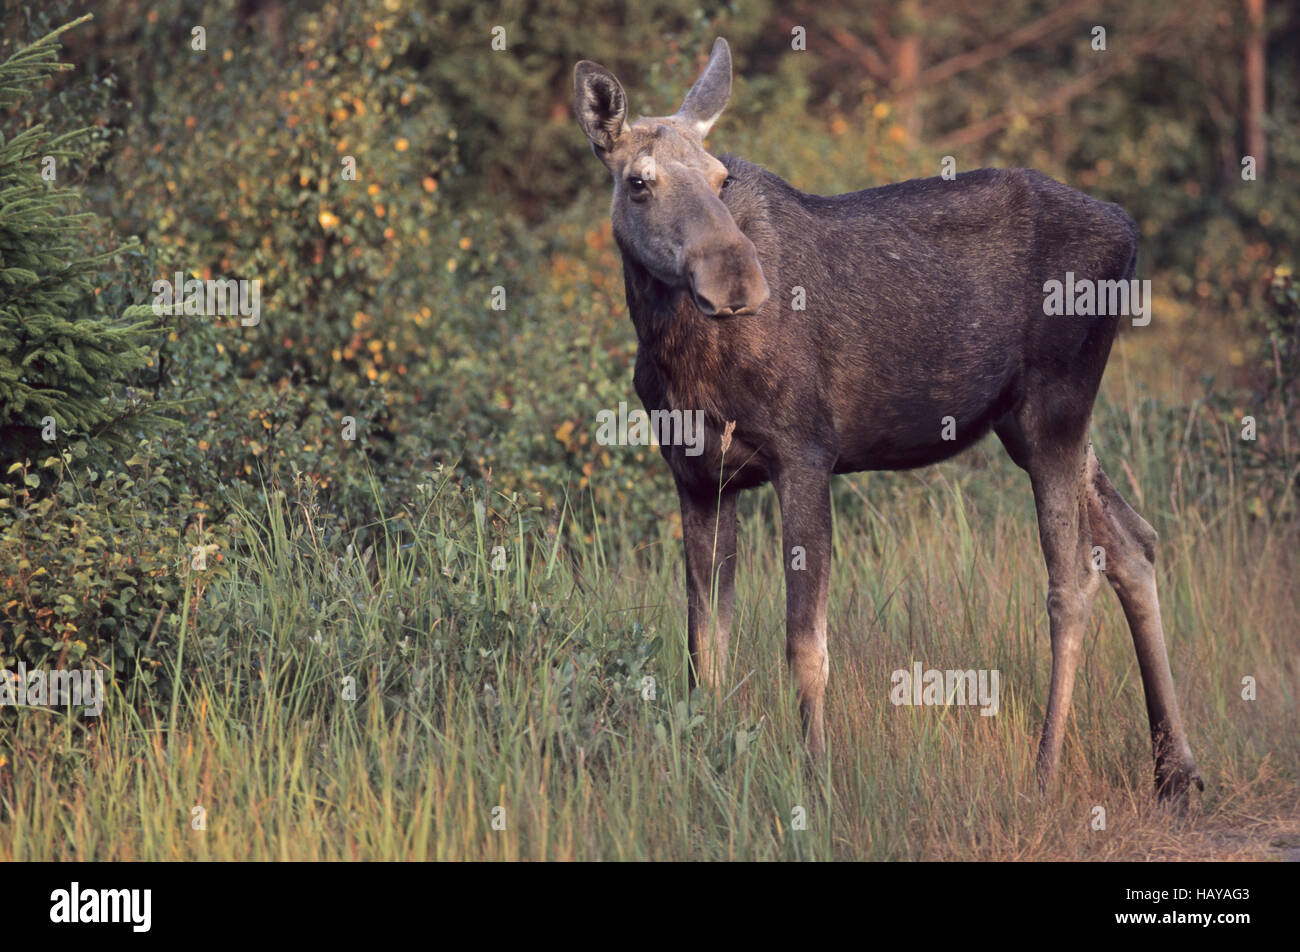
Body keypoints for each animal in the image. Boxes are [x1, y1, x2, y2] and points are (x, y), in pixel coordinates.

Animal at [573, 37, 1203, 805]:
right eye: (639, 182)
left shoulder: (805, 452)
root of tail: (1130, 228)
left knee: (1073, 579)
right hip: (1025, 424)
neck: (678, 356)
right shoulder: (696, 477)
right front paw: (705, 774)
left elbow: (804, 643)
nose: (737, 282)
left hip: (1058, 406)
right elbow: (705, 649)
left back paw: (1047, 768)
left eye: (722, 179)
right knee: (1134, 543)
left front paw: (816, 781)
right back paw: (1175, 768)